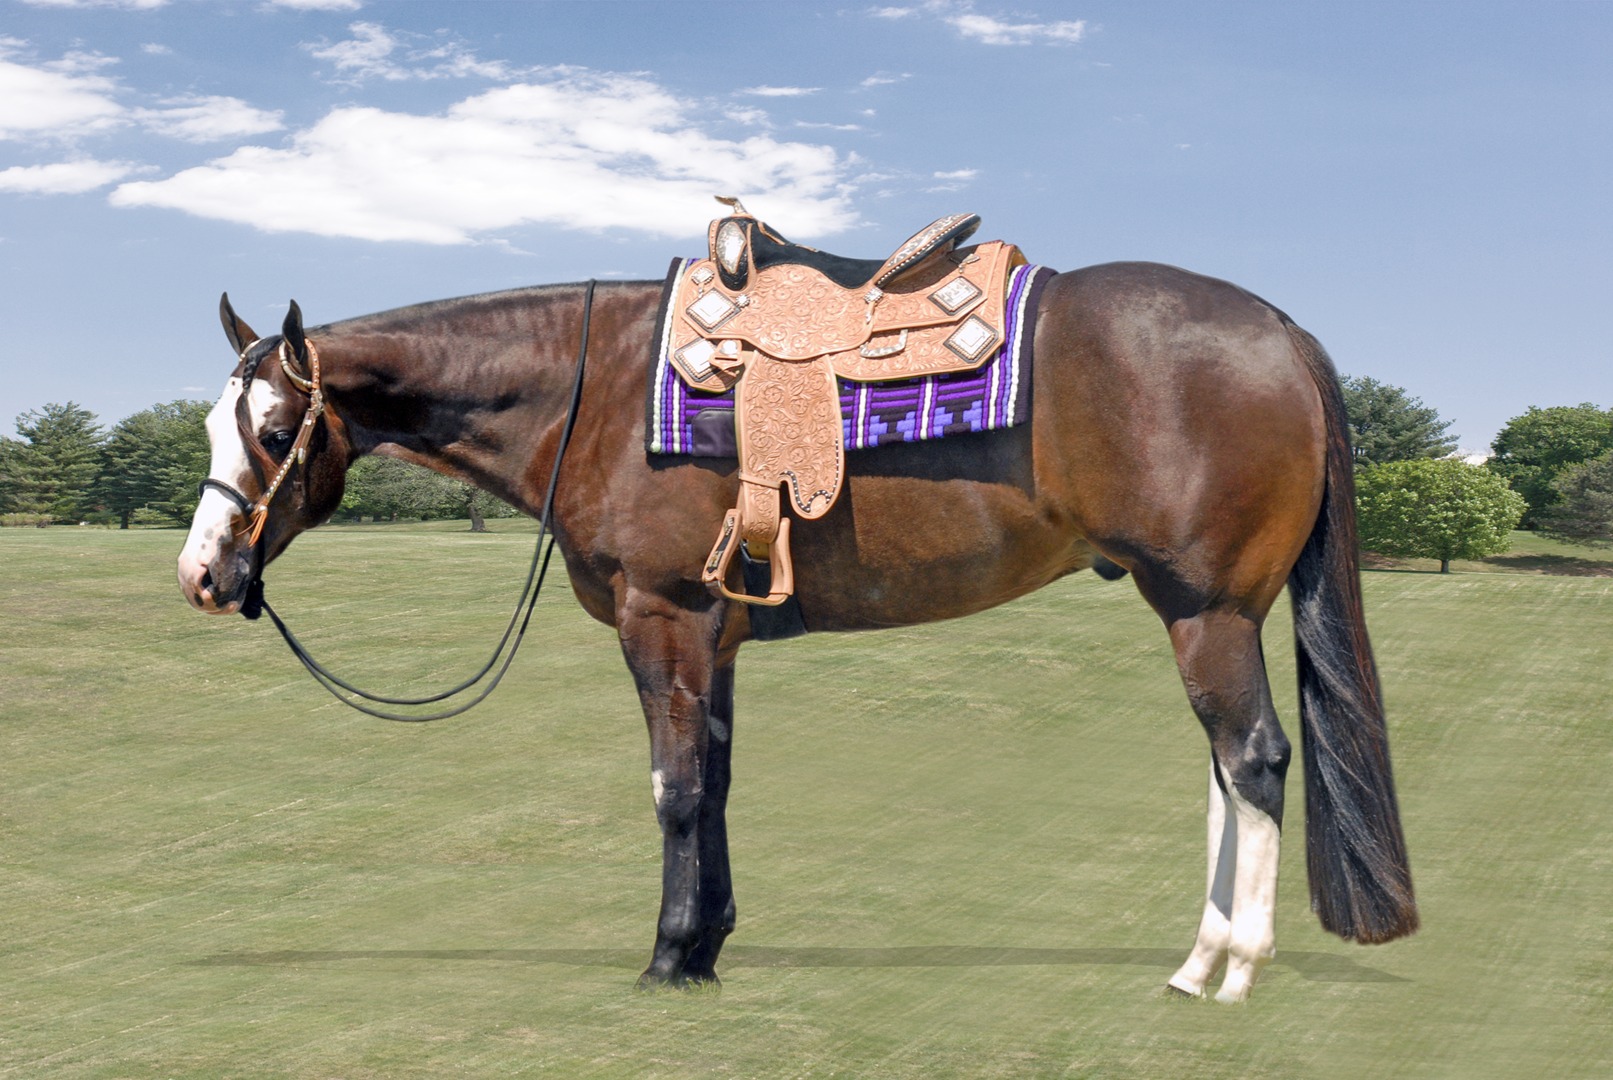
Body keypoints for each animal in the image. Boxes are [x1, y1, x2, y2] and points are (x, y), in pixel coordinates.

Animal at [176, 260, 1417, 1002]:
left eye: (276, 430)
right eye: (209, 427)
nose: (202, 574)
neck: (594, 389)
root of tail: (1276, 328)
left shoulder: (664, 616)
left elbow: (674, 789)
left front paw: (666, 954)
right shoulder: (715, 636)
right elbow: (717, 782)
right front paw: (708, 947)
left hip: (1206, 609)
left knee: (1252, 761)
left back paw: (1232, 966)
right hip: (1208, 612)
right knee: (1221, 771)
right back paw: (1197, 956)